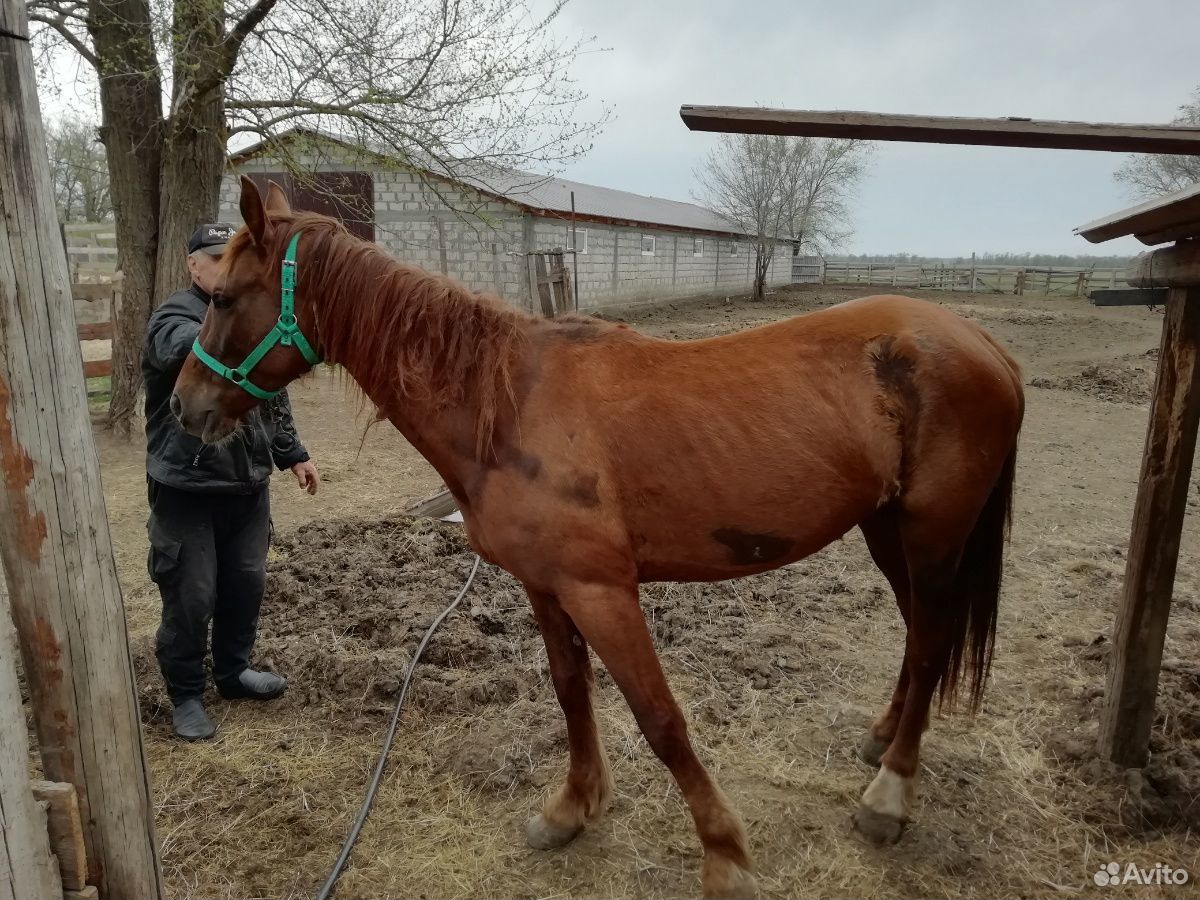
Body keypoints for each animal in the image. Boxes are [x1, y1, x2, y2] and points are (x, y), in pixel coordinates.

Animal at [172, 176, 1024, 899]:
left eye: (227, 296)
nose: (184, 405)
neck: (507, 405)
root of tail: (984, 346)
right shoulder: (546, 587)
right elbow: (571, 690)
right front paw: (573, 808)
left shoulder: (602, 592)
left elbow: (660, 718)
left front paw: (724, 857)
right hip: (887, 531)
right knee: (920, 636)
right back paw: (882, 742)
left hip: (932, 537)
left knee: (932, 640)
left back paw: (889, 794)